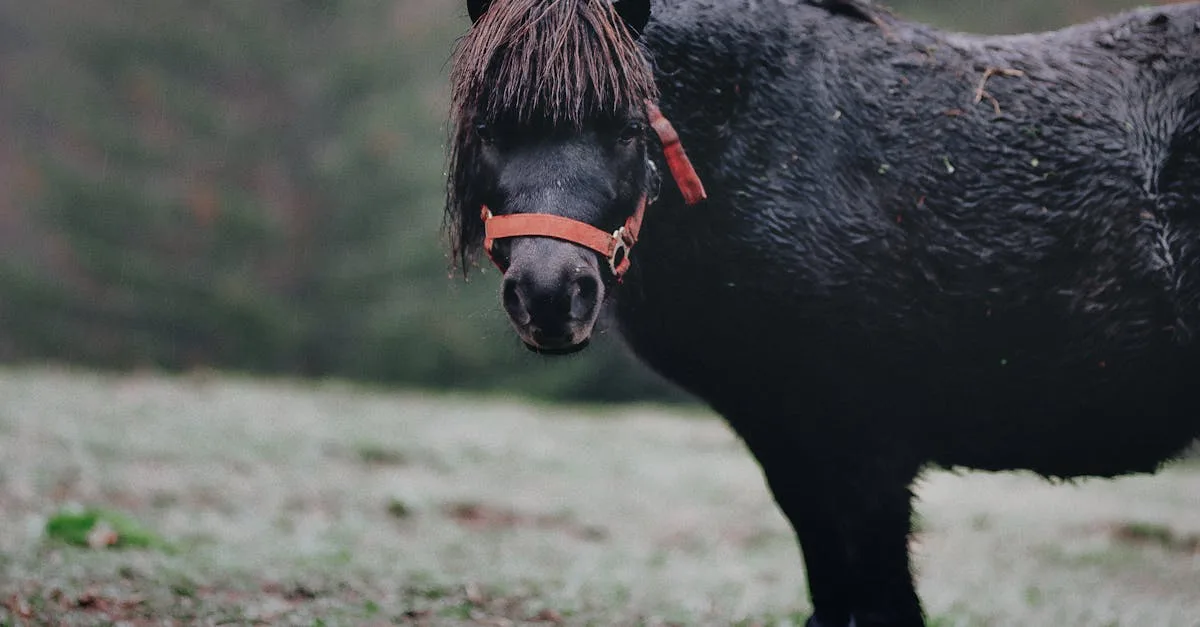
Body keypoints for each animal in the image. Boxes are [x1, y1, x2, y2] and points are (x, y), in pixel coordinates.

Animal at [443, 0, 1200, 624]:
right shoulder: (792, 443)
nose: (550, 294)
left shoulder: (868, 451)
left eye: (630, 128)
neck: (773, 143)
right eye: (489, 128)